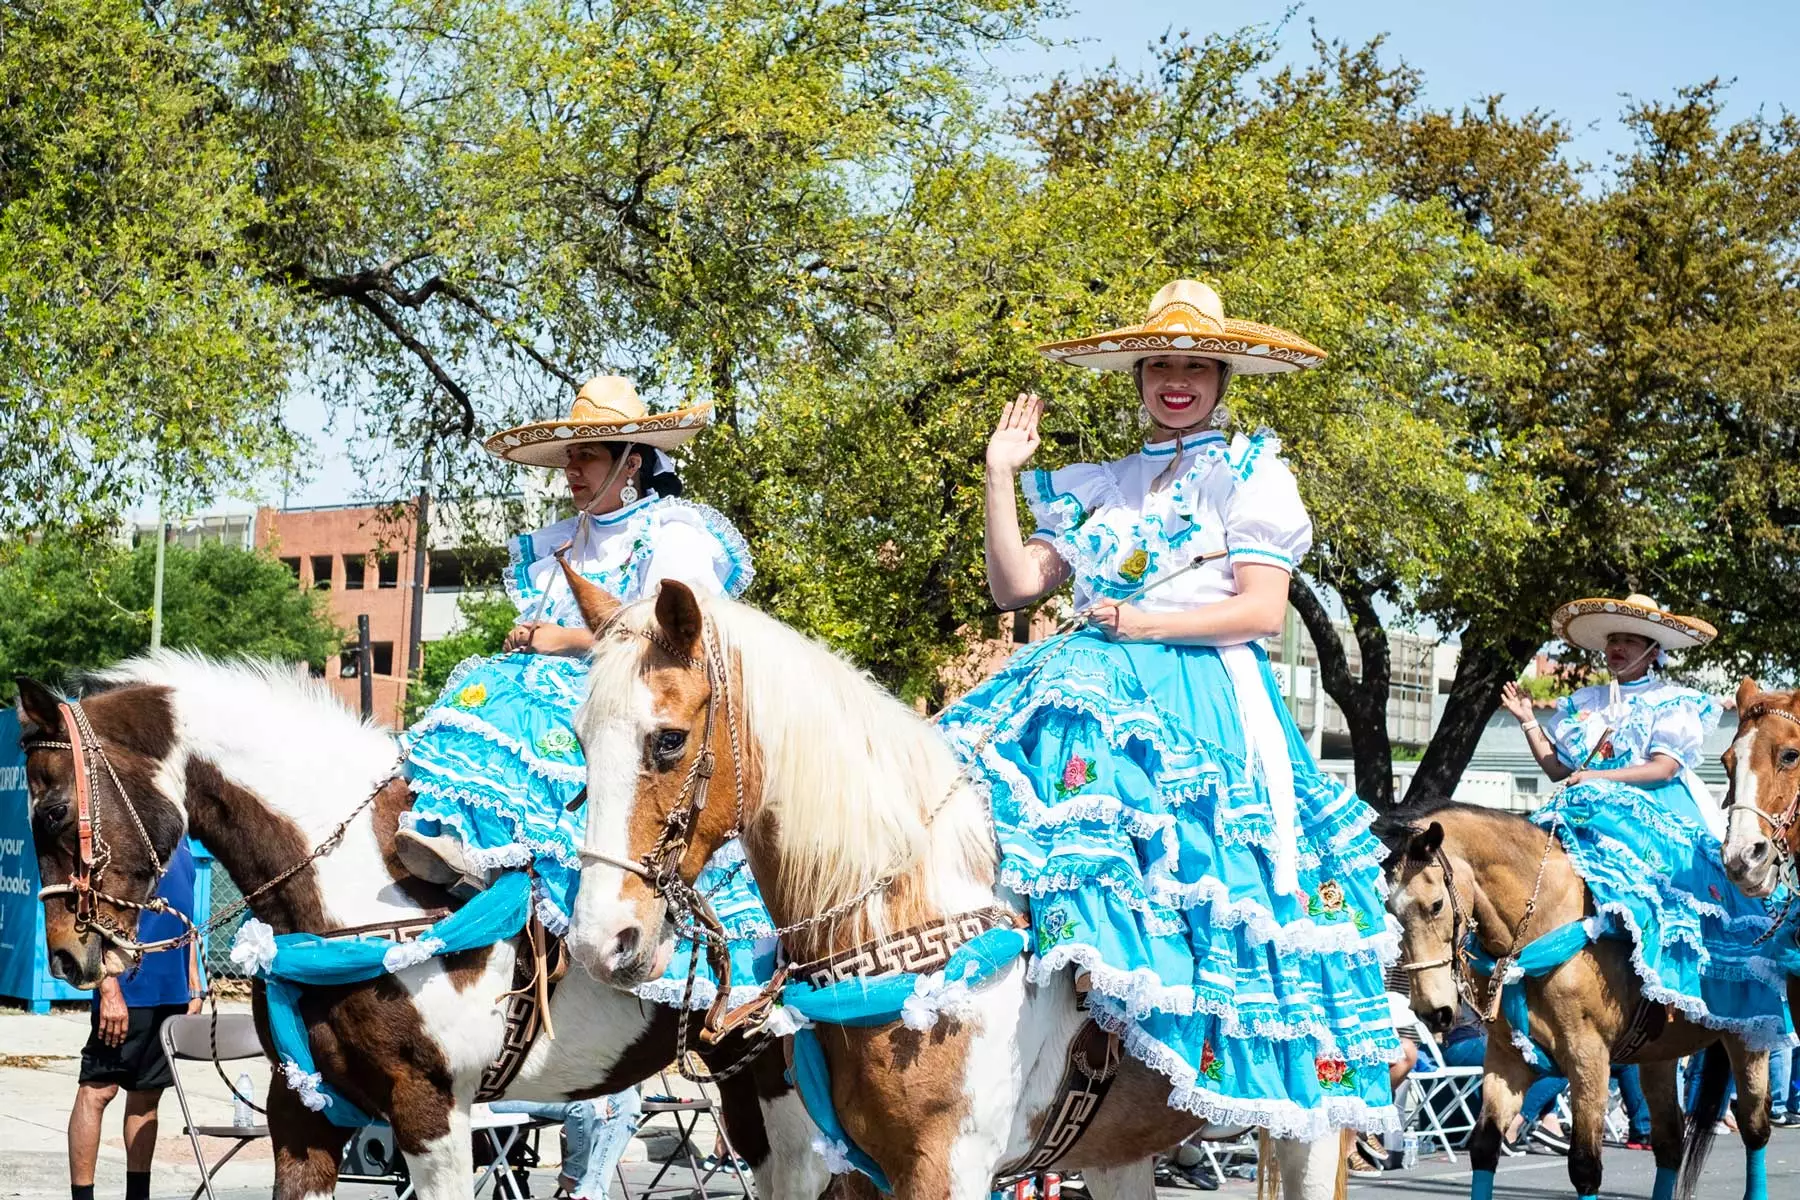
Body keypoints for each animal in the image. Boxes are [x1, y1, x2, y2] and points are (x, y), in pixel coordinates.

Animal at [17, 658, 828, 1200]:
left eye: (53, 812)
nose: (66, 956)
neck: (362, 896)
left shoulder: (433, 1114)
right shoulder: (301, 1112)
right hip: (740, 1068)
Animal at [547, 575, 1353, 1200]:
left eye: (669, 739)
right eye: (580, 741)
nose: (598, 940)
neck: (902, 926)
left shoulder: (948, 1166)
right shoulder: (857, 1169)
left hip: (1318, 1128)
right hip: (1118, 1147)